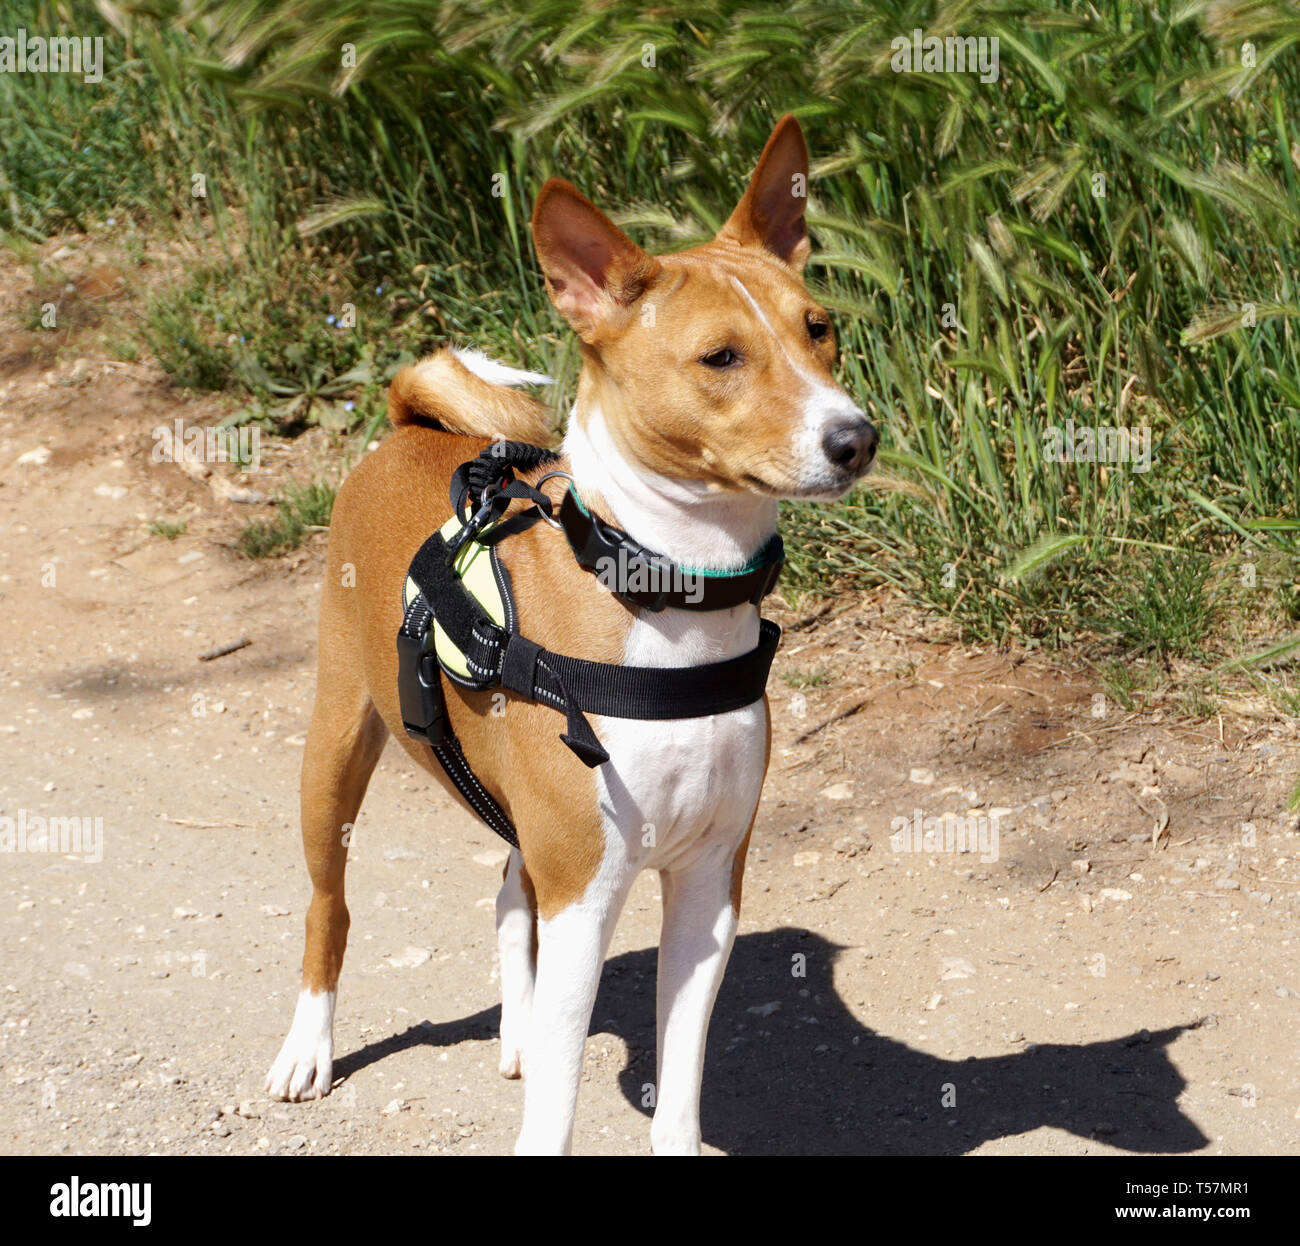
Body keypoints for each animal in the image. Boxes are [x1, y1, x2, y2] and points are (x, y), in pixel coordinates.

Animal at [262, 111, 873, 1154]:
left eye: (818, 328)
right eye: (721, 357)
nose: (856, 437)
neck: (668, 602)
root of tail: (410, 425)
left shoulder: (707, 886)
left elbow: (679, 1081)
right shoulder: (587, 891)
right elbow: (558, 1097)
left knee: (511, 894)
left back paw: (513, 1026)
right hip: (334, 753)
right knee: (328, 909)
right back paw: (309, 1047)